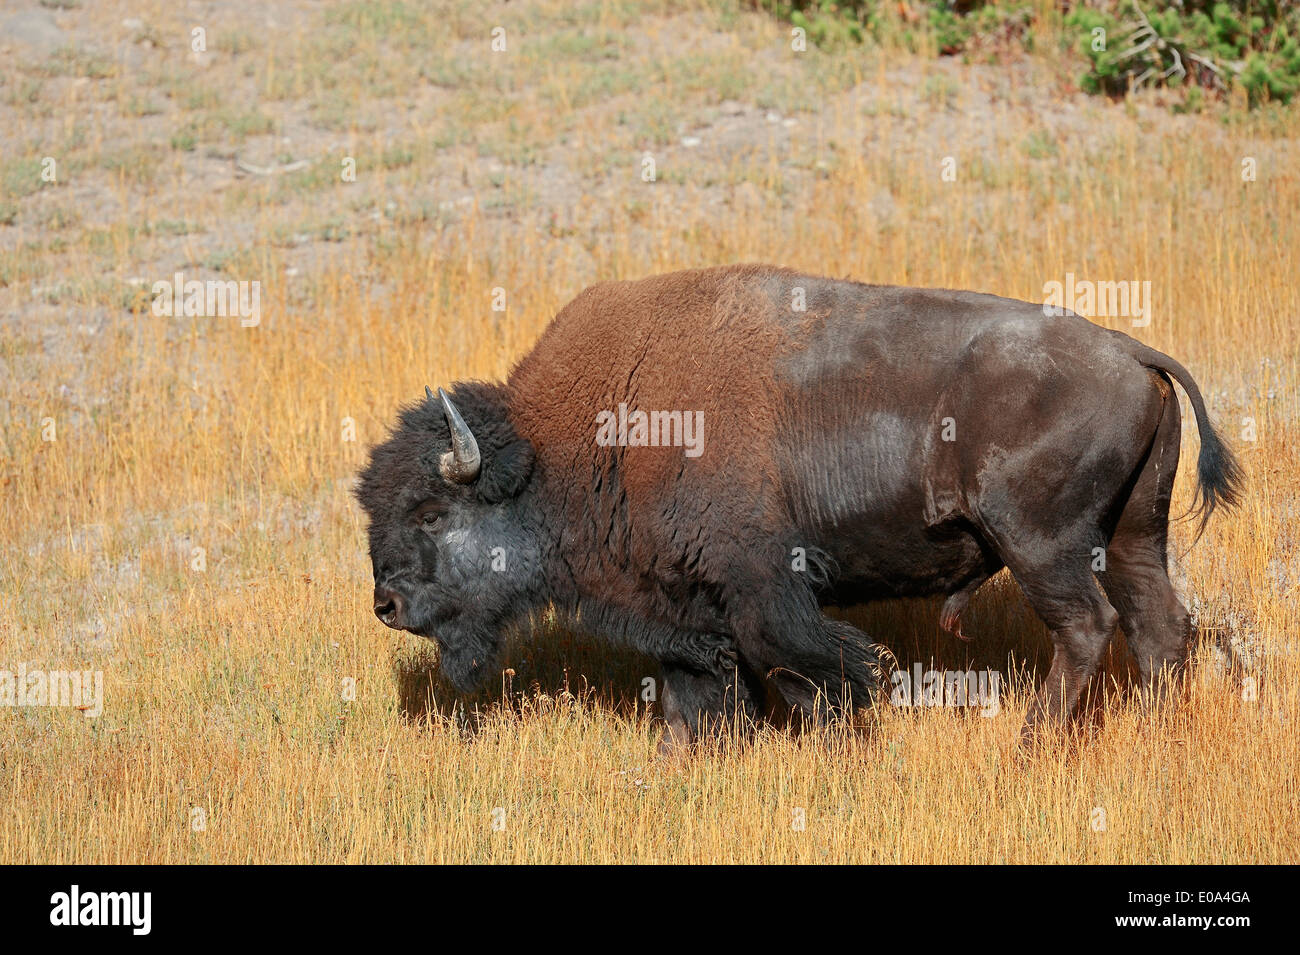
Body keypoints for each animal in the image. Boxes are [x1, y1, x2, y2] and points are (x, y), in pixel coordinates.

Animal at [356, 264, 1242, 749]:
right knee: (1160, 627)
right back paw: (1155, 733)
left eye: (433, 512)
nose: (385, 603)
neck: (584, 433)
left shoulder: (761, 588)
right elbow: (695, 694)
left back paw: (1031, 746)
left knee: (1088, 627)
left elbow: (812, 675)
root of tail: (1132, 351)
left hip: (1043, 544)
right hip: (1131, 535)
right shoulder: (685, 609)